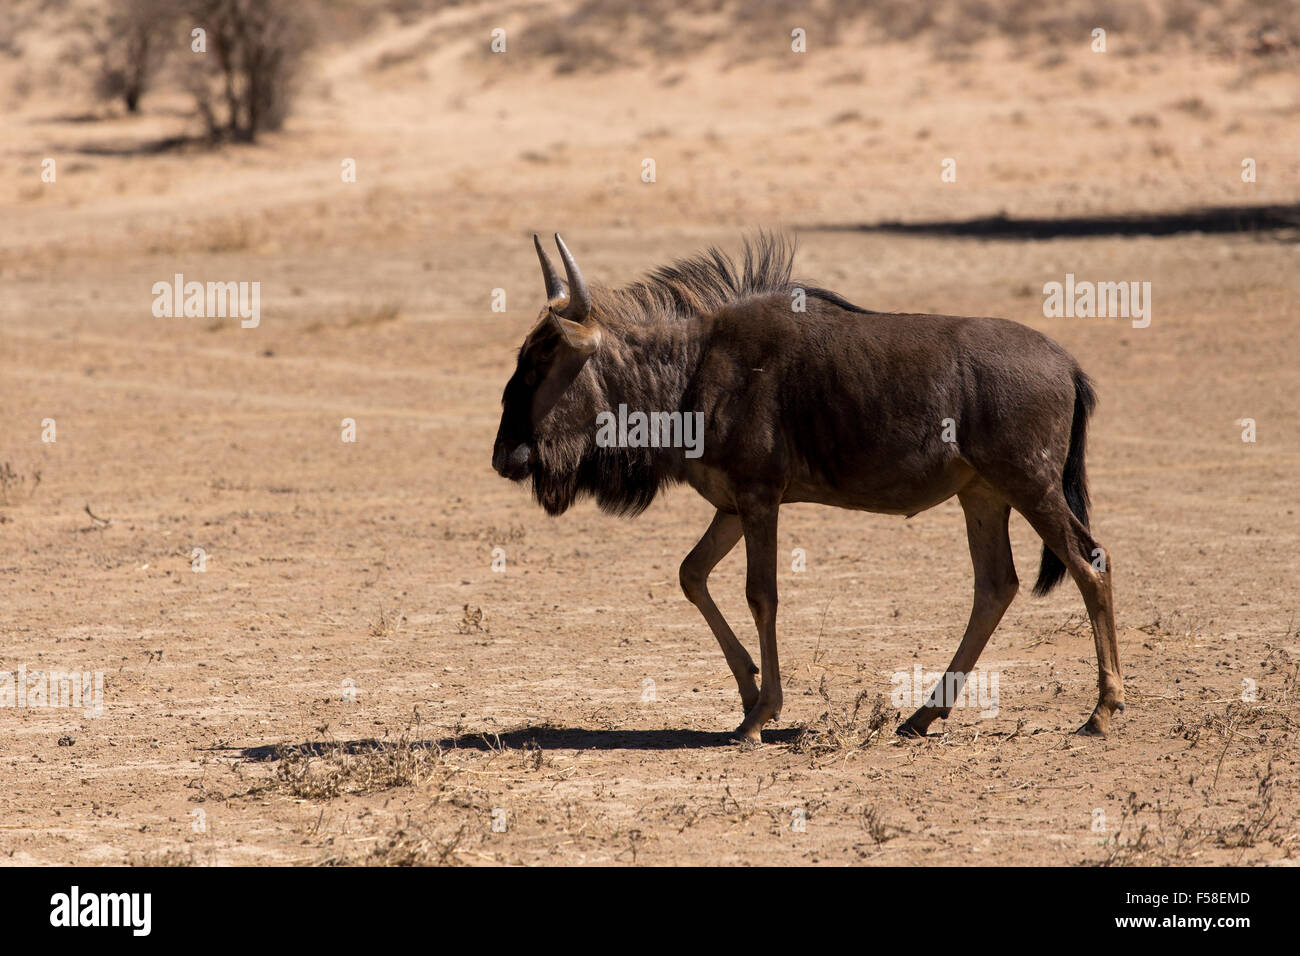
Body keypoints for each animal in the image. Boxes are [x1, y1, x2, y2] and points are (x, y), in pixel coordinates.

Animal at [493, 233, 1124, 742]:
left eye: (541, 362)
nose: (505, 457)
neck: (693, 368)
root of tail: (1068, 366)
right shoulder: (732, 504)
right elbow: (692, 574)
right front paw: (749, 689)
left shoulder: (759, 497)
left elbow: (761, 594)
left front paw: (759, 715)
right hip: (984, 496)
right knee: (995, 585)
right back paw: (922, 715)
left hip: (1032, 485)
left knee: (1089, 562)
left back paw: (1102, 711)